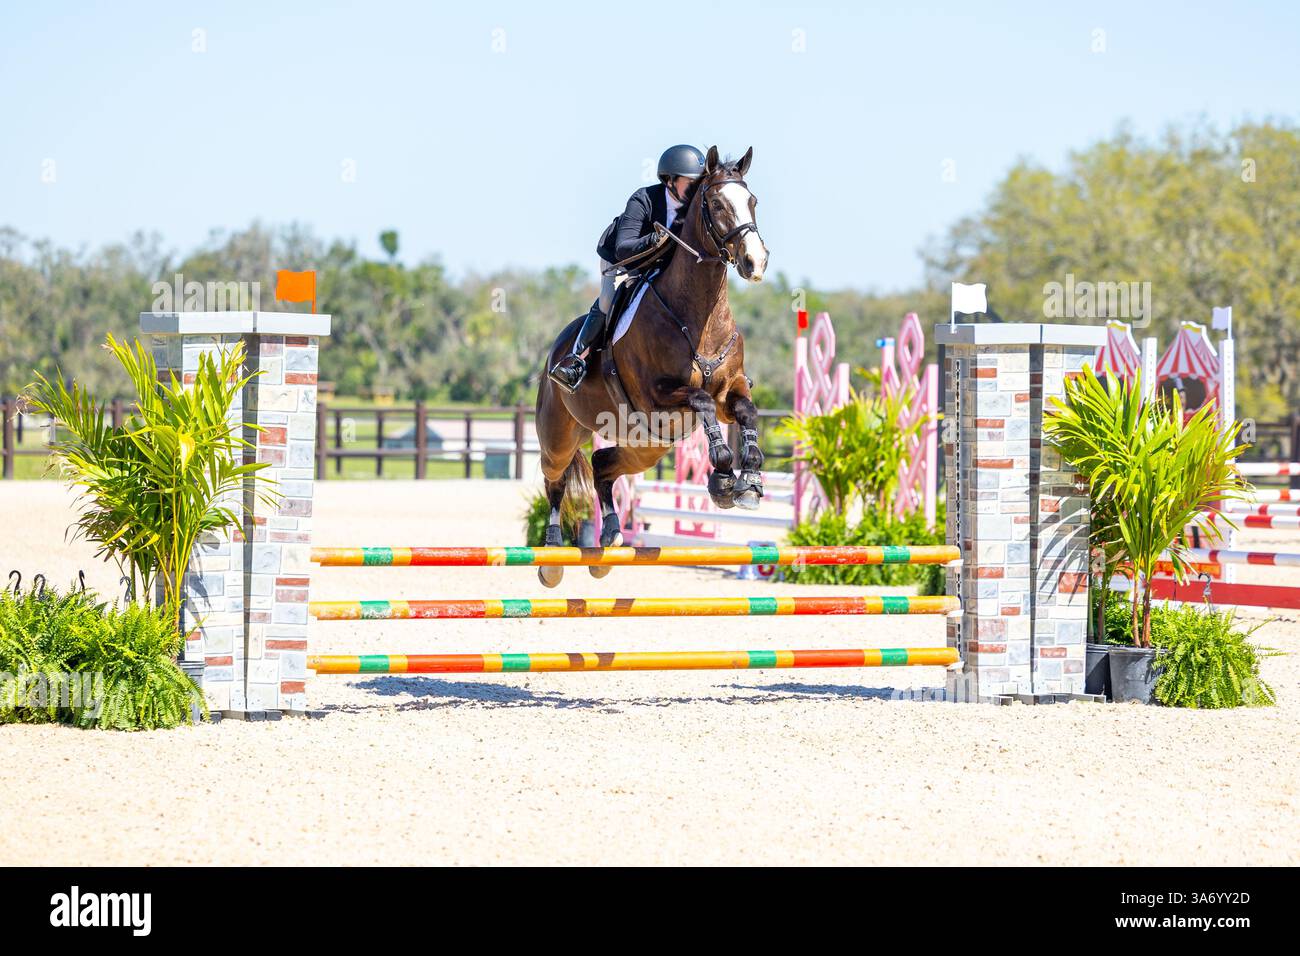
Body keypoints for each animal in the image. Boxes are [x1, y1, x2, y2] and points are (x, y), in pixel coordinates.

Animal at [534, 146, 770, 587]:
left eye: (752, 201)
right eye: (716, 204)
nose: (756, 261)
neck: (698, 315)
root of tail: (554, 352)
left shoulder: (730, 391)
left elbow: (745, 410)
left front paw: (749, 480)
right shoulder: (658, 396)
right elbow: (702, 402)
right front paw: (723, 477)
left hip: (645, 447)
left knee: (601, 467)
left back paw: (610, 536)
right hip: (560, 436)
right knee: (554, 480)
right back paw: (553, 555)